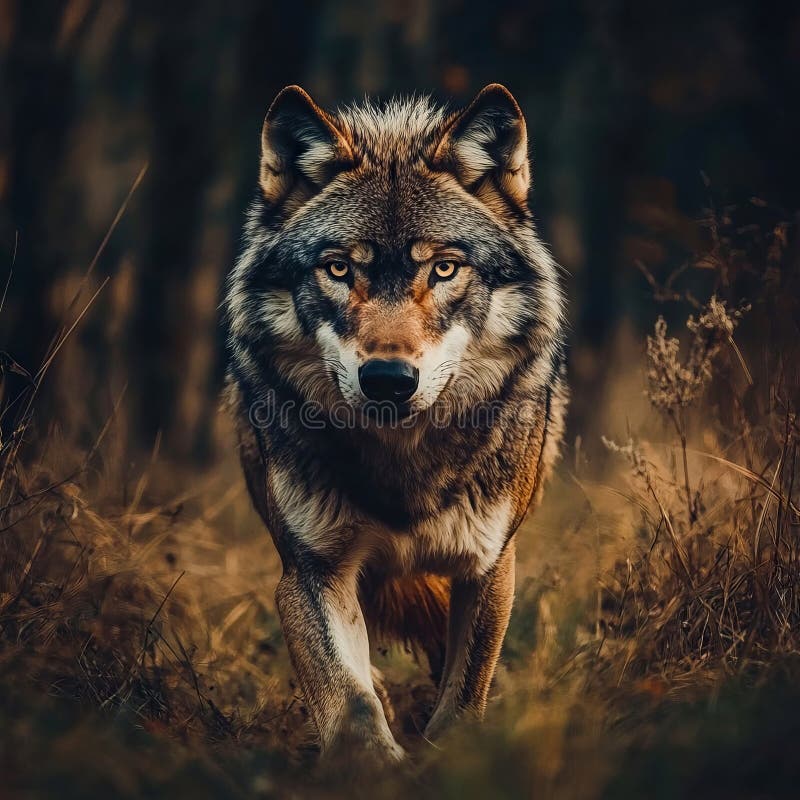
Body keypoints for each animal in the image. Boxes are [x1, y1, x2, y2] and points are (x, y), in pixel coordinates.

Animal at [222, 83, 567, 762]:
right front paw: (372, 762)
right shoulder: (311, 572)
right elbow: (349, 699)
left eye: (443, 269)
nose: (387, 379)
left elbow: (463, 696)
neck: (402, 462)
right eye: (338, 269)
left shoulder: (489, 567)